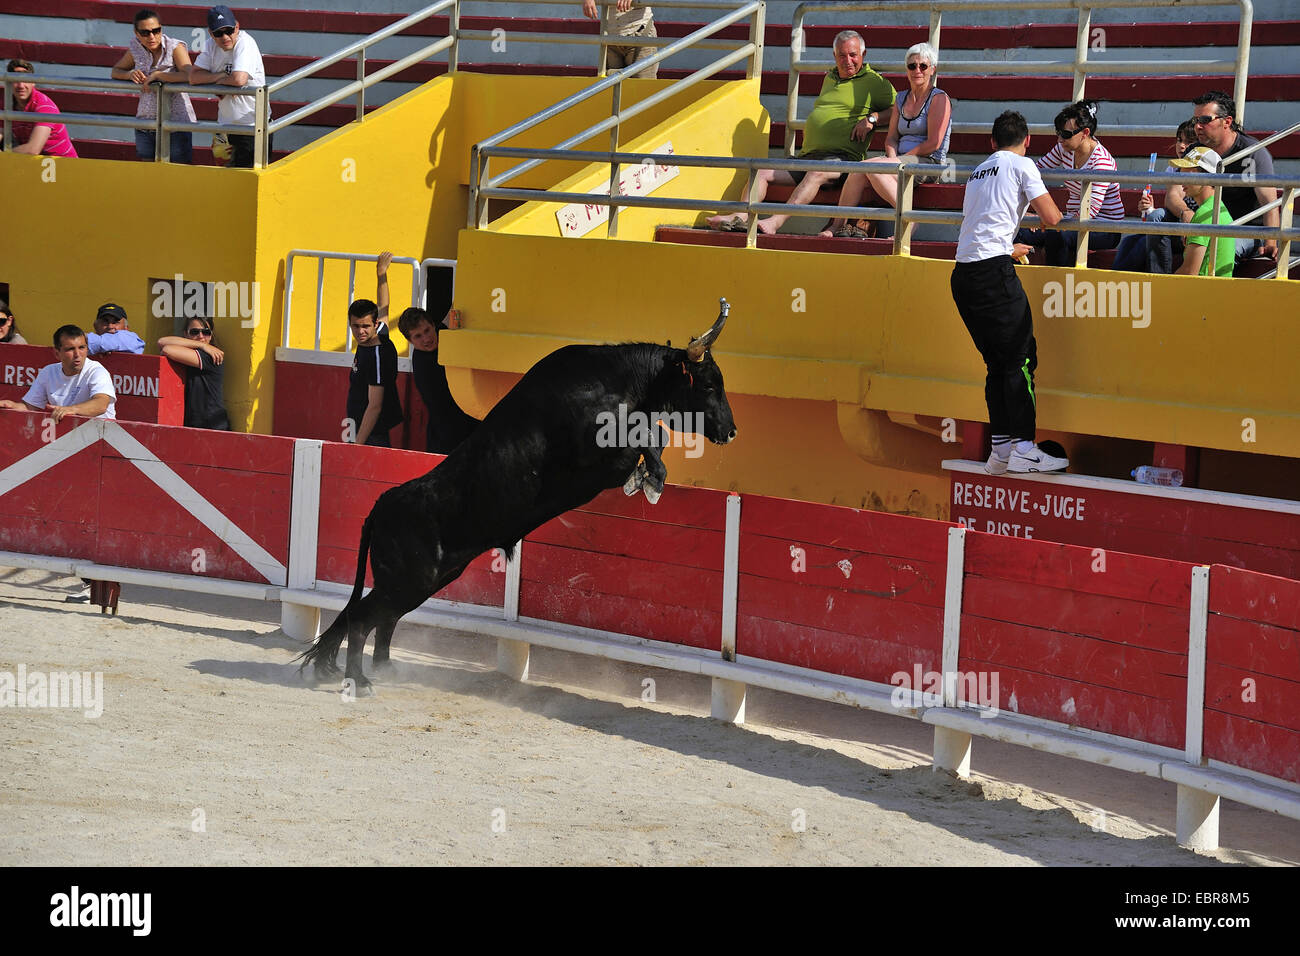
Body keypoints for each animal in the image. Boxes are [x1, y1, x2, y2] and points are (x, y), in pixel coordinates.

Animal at [296, 298, 738, 693]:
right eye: (709, 383)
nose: (731, 431)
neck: (614, 382)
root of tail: (382, 504)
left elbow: (652, 435)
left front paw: (647, 479)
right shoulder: (597, 456)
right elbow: (645, 438)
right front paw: (651, 481)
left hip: (428, 578)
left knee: (382, 617)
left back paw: (386, 670)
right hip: (410, 578)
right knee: (363, 618)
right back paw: (361, 681)